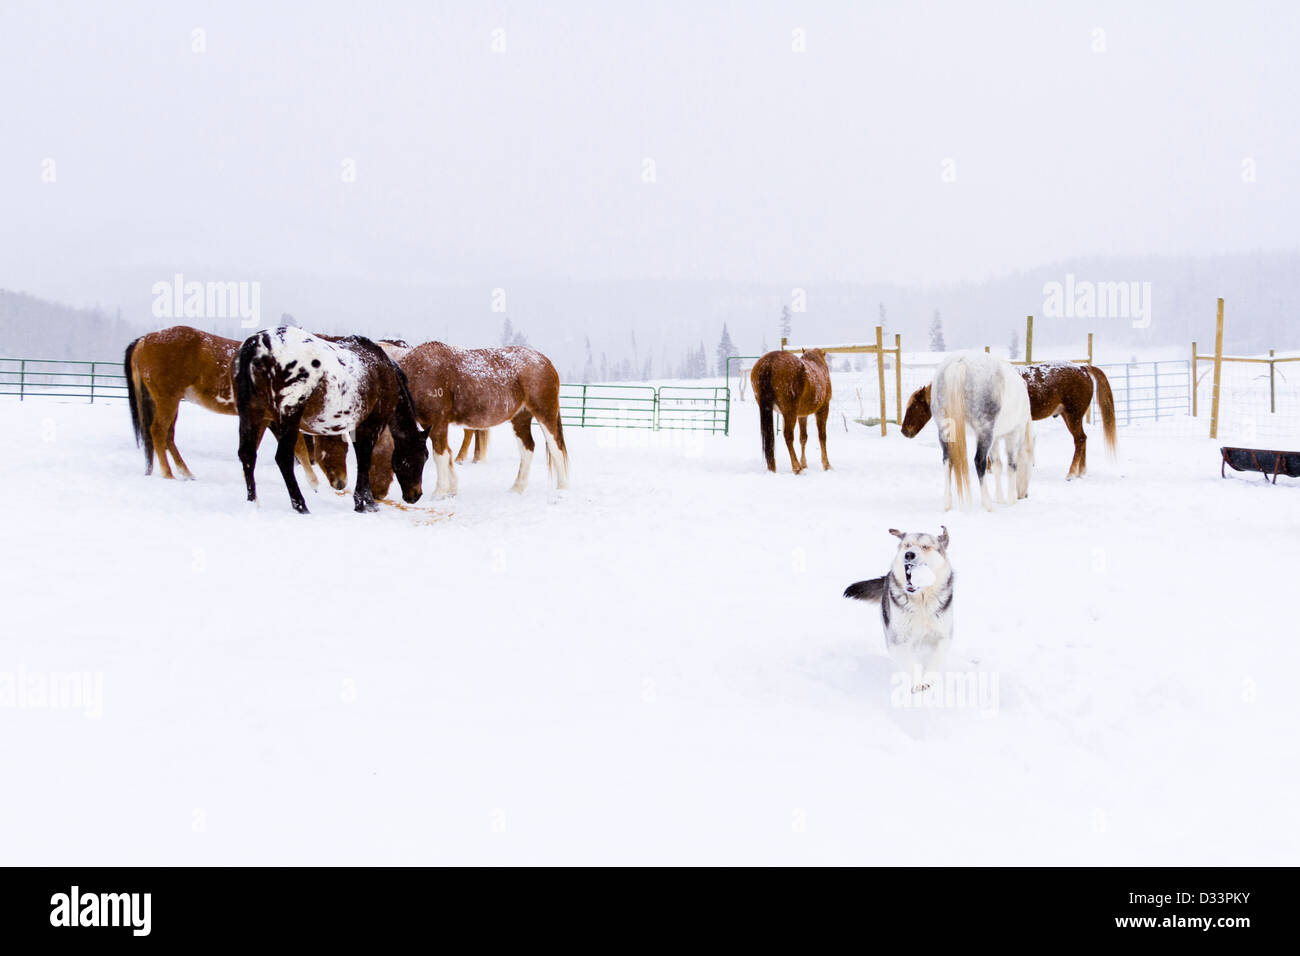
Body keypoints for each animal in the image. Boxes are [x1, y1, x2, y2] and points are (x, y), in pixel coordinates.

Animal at [124, 325, 317, 483]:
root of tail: (144, 340)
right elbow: (299, 447)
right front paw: (314, 482)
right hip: (167, 400)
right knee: (158, 431)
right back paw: (168, 474)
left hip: (169, 402)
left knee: (168, 436)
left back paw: (185, 472)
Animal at [234, 327, 428, 513]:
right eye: (424, 456)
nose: (416, 495)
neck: (384, 373)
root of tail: (258, 344)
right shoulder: (372, 425)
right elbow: (364, 459)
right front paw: (364, 503)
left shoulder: (357, 426)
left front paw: (366, 501)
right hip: (288, 420)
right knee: (283, 458)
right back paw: (301, 505)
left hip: (254, 415)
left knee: (247, 455)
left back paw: (253, 502)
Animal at [398, 342, 568, 496]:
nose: (413, 495)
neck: (419, 373)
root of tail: (546, 362)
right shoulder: (429, 424)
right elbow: (448, 454)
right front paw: (452, 489)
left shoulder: (437, 423)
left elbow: (441, 455)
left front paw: (439, 492)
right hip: (520, 418)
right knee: (527, 448)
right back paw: (517, 488)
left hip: (545, 413)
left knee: (556, 448)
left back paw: (562, 488)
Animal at [901, 362, 1116, 479]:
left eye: (913, 406)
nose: (904, 431)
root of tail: (1083, 367)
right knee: (1082, 439)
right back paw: (1081, 472)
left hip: (1073, 415)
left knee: (1080, 440)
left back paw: (1072, 473)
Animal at [921, 352, 1033, 511]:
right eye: (1032, 465)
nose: (1024, 495)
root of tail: (959, 363)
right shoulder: (1014, 433)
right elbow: (1012, 465)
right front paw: (1011, 501)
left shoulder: (996, 438)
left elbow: (997, 465)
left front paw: (1000, 499)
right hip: (984, 431)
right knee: (979, 462)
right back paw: (987, 504)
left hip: (945, 430)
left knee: (947, 460)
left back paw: (947, 503)